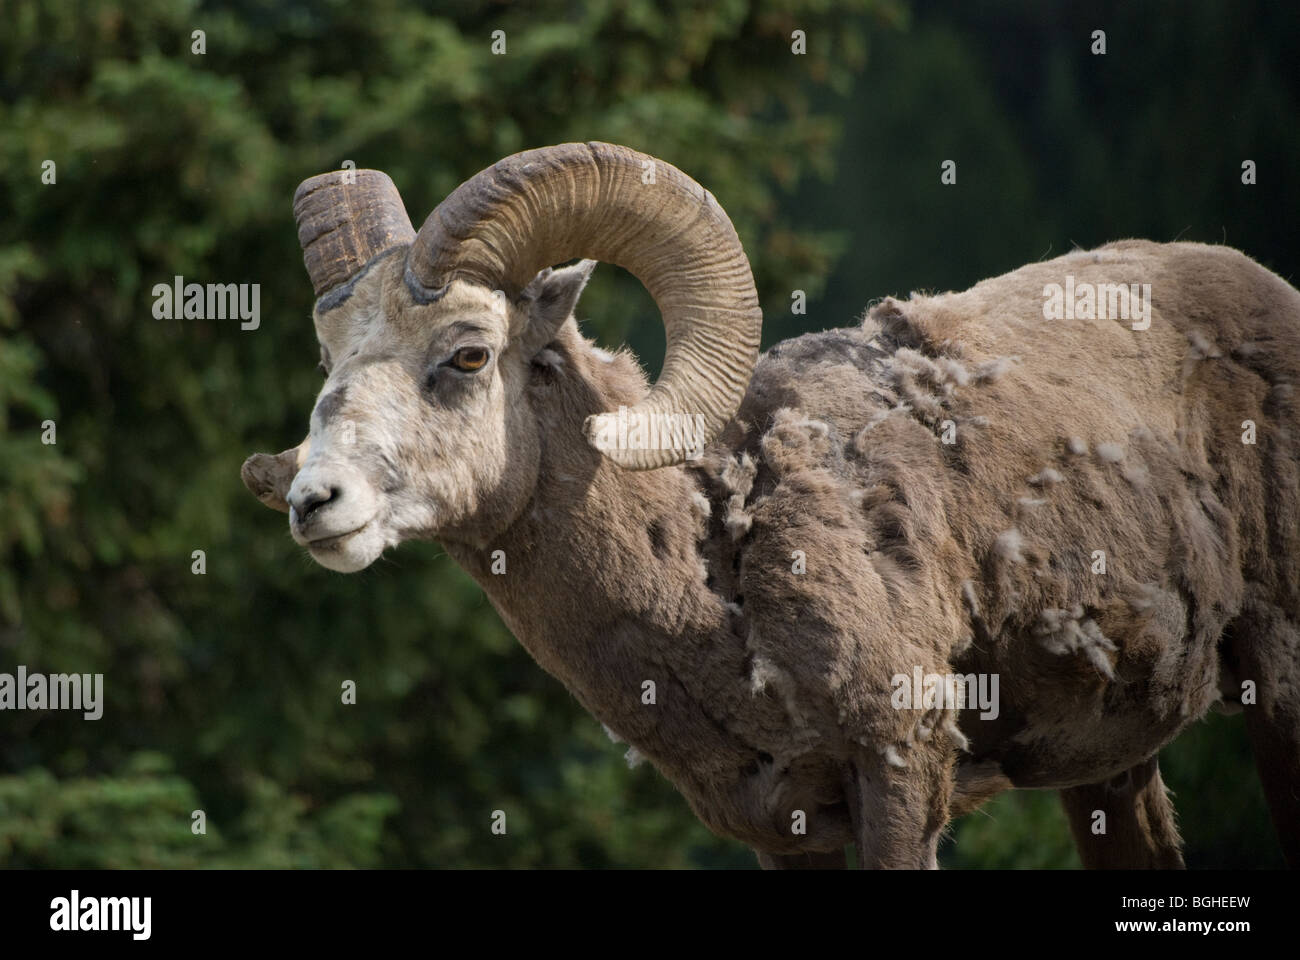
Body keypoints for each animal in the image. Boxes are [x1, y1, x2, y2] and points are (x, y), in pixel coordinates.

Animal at [242, 142, 1300, 869]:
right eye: (330, 362)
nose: (314, 502)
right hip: (1108, 772)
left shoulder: (902, 775)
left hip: (1279, 682)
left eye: (468, 353)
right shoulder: (782, 829)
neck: (723, 577)